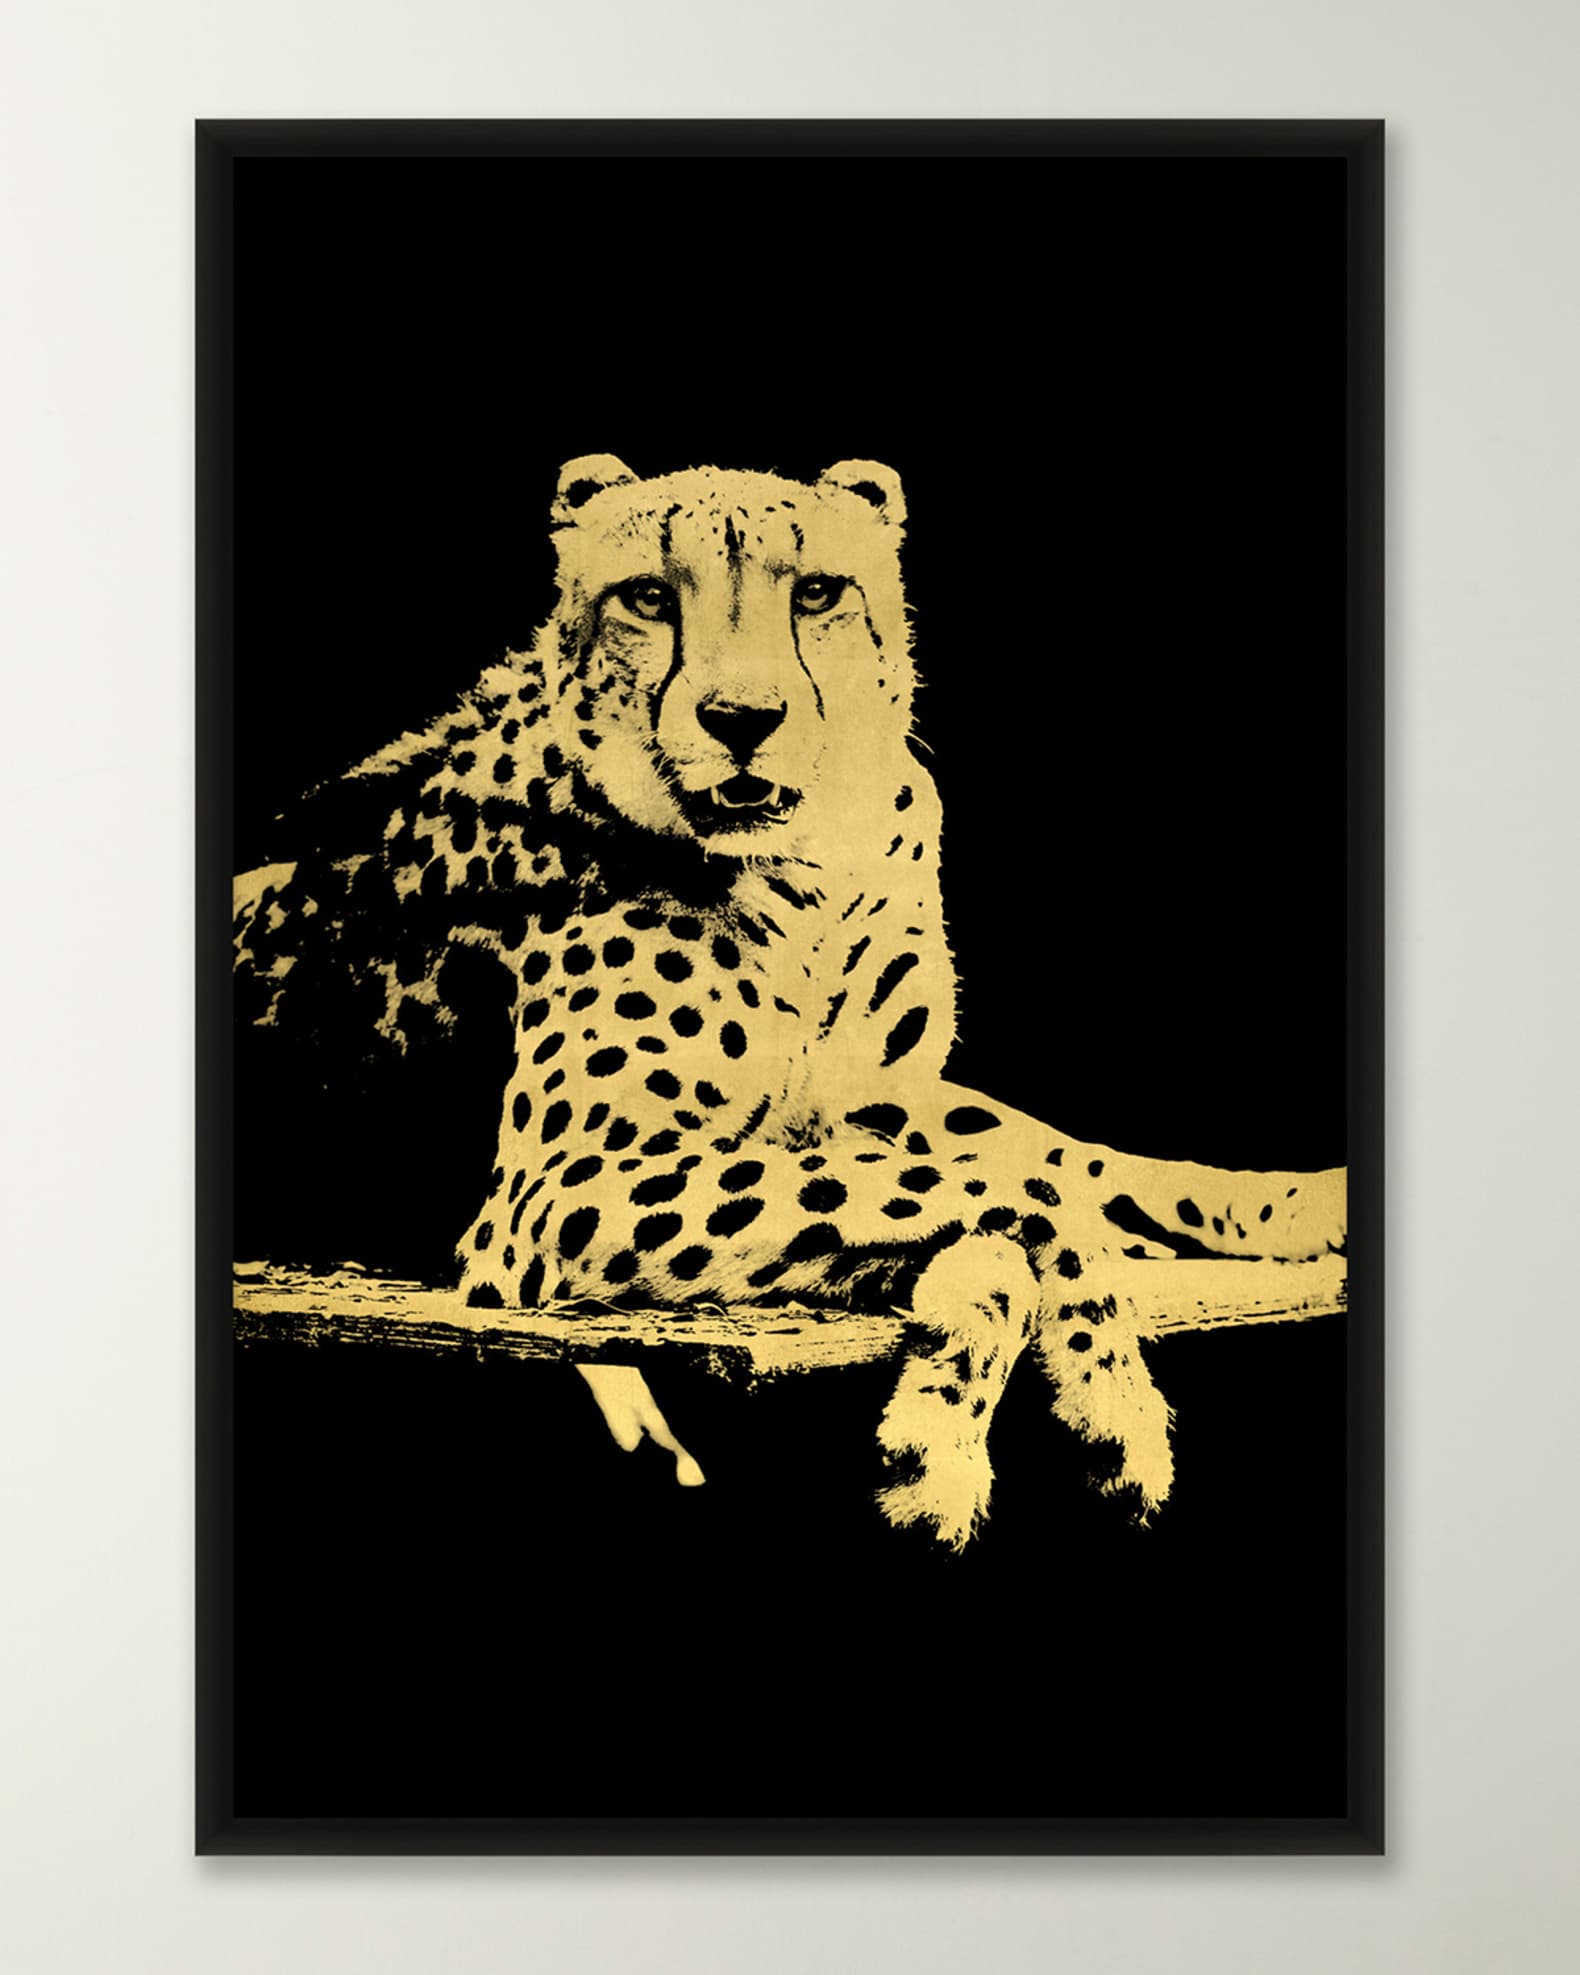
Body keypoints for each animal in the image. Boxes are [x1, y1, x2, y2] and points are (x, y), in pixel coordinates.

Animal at [234, 453, 1347, 1551]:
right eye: (649, 596)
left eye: (815, 592)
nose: (741, 720)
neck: (811, 866)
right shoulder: (557, 1193)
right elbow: (1009, 1199)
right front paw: (1089, 1411)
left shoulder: (876, 1106)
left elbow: (1038, 1170)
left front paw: (1282, 1206)